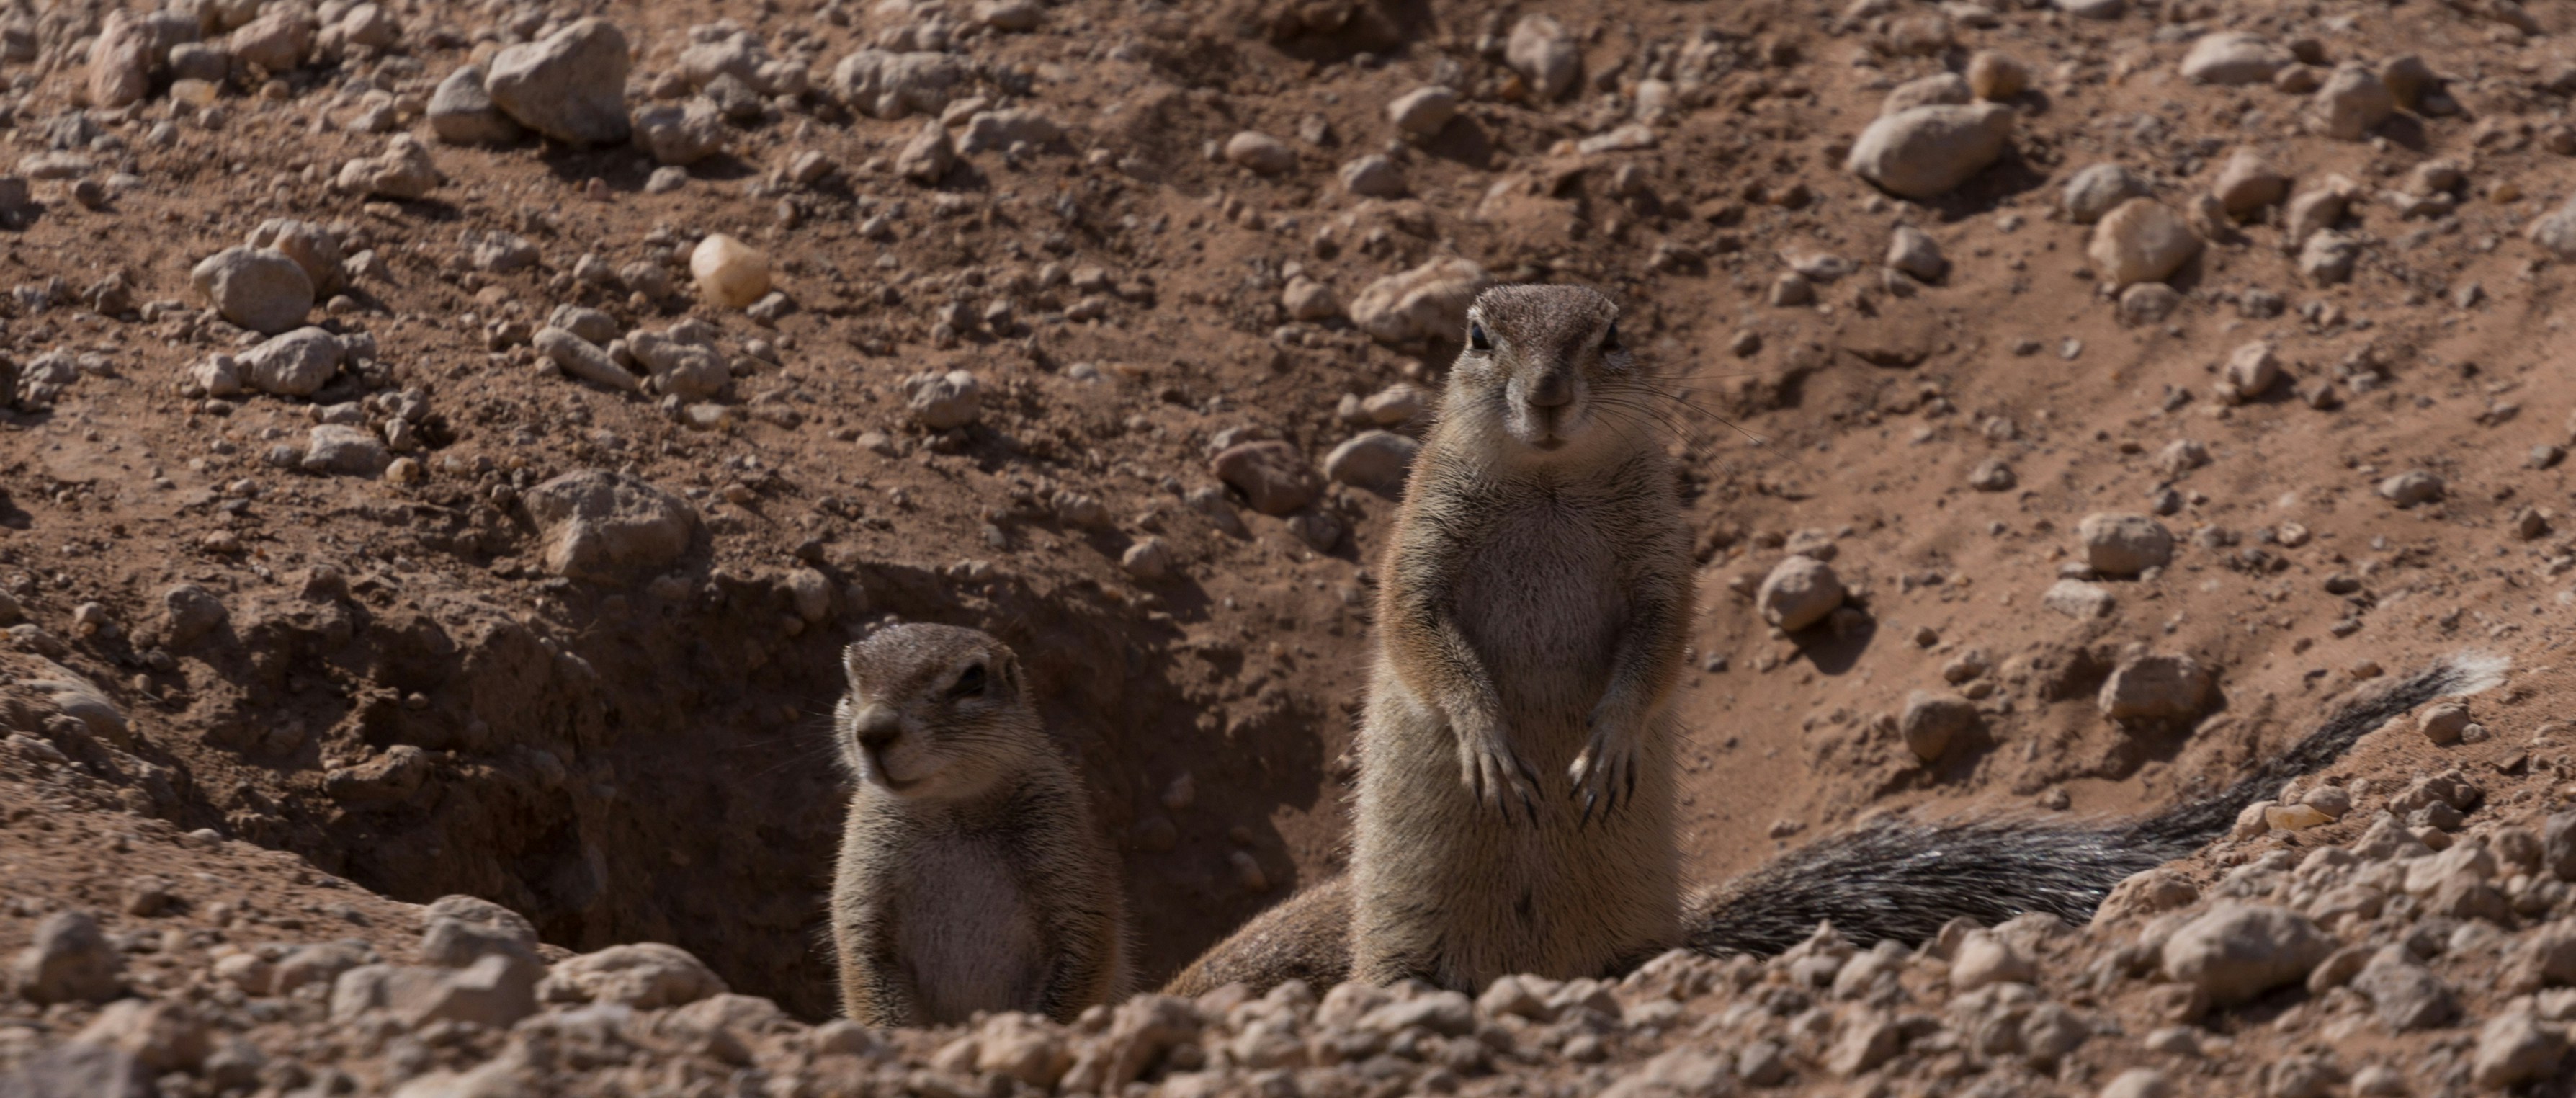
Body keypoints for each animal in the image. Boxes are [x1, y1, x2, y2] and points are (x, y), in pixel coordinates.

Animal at [829, 623, 1127, 1026]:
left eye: (973, 679)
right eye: (848, 680)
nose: (874, 731)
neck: (951, 812)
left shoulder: (1066, 856)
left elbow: (1084, 954)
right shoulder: (863, 875)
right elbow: (863, 965)